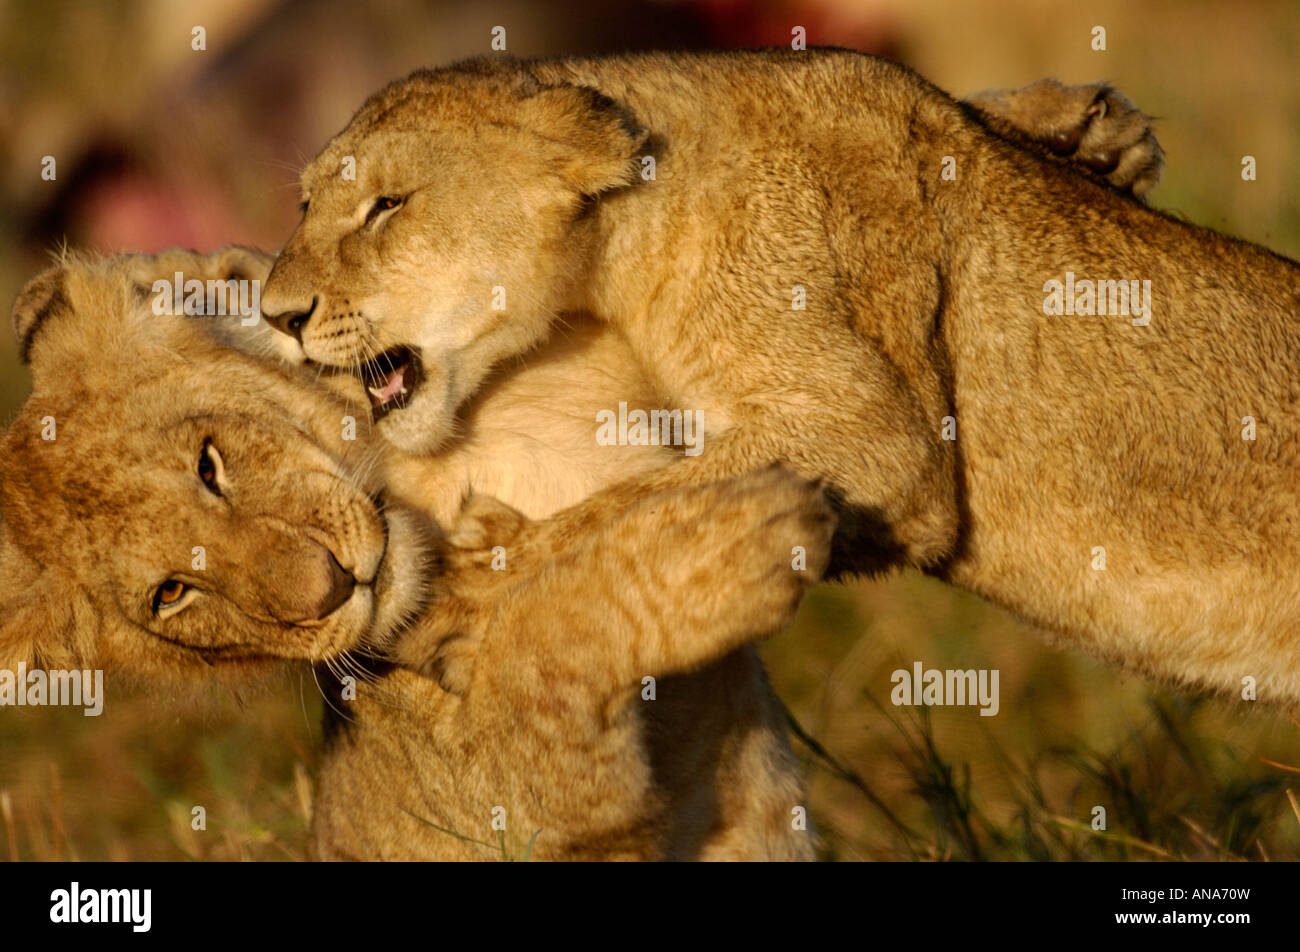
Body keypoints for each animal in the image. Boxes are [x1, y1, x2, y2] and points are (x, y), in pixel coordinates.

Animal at [1, 248, 832, 860]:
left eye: (208, 465)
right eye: (172, 593)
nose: (331, 588)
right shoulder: (520, 808)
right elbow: (544, 642)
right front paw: (735, 542)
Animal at [261, 49, 1300, 705]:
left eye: (386, 206)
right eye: (305, 204)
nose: (276, 315)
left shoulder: (879, 437)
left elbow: (632, 503)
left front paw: (459, 592)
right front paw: (1091, 133)